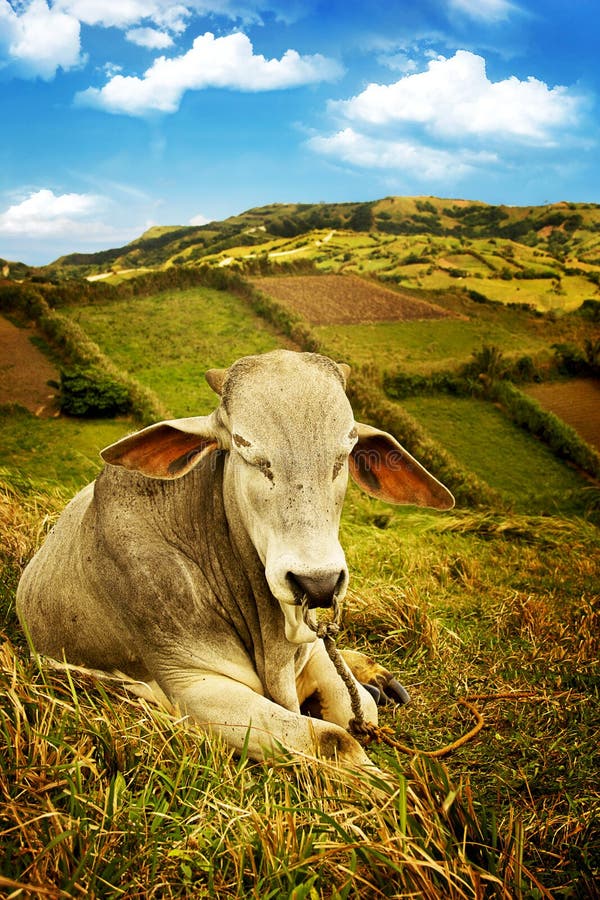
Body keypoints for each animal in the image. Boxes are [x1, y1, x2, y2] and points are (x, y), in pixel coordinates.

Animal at [17, 350, 454, 770]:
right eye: (246, 449)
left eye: (343, 454)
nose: (318, 583)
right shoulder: (192, 682)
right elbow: (334, 739)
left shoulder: (308, 644)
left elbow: (355, 712)